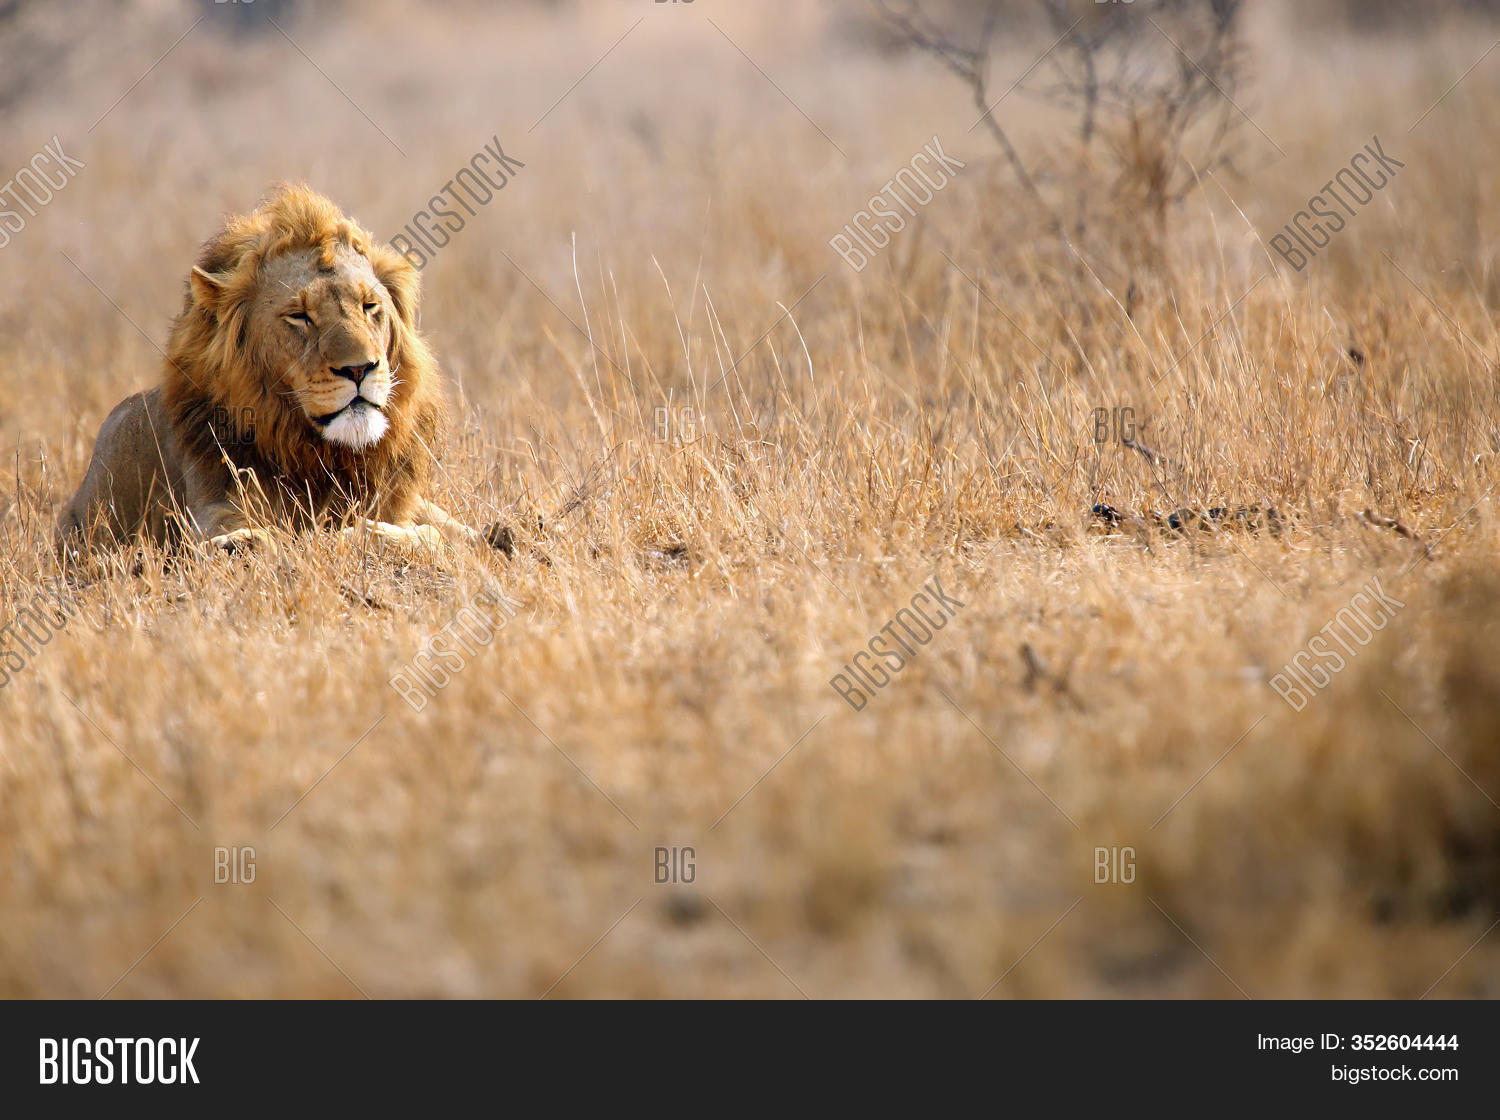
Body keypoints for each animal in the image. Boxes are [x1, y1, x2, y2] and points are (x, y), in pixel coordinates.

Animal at [56, 184, 502, 559]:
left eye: (369, 306)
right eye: (299, 316)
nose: (360, 368)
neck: (324, 455)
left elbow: (434, 531)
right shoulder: (213, 505)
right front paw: (243, 544)